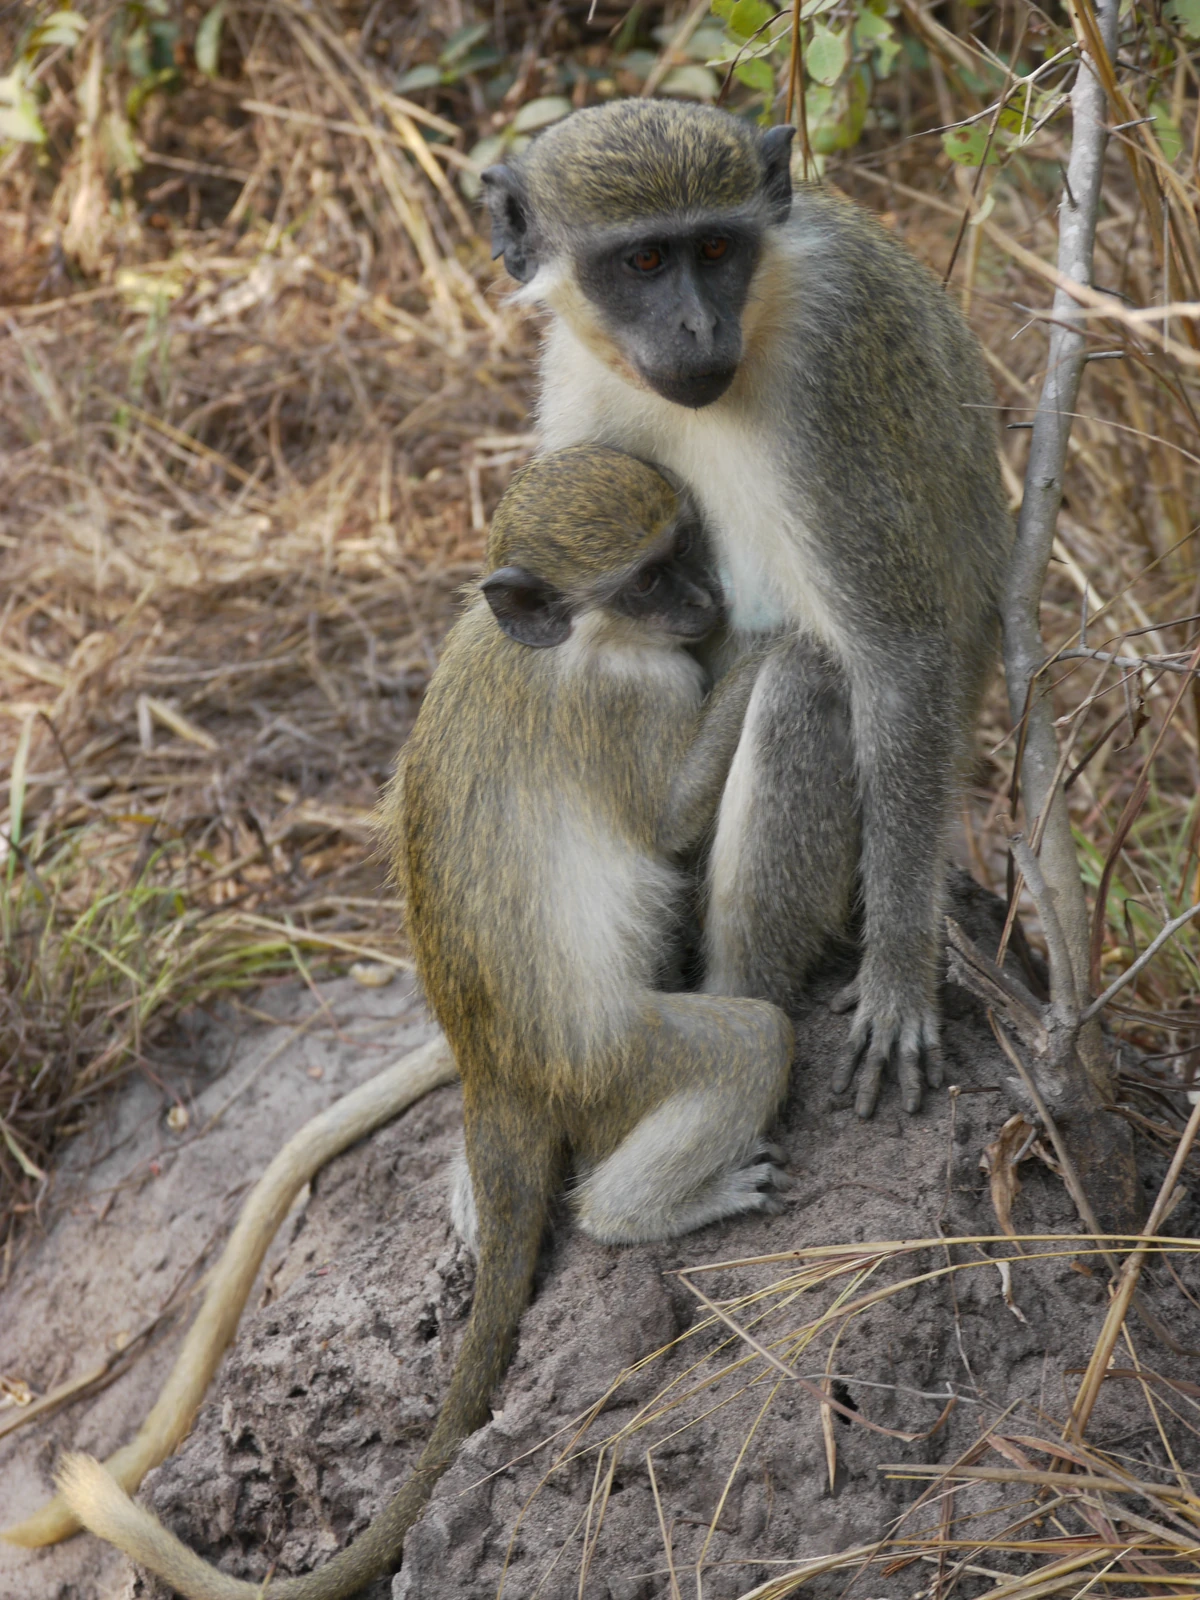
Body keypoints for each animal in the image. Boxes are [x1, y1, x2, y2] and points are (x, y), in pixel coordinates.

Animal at [51, 445, 794, 1600]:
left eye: (684, 547)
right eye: (645, 581)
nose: (708, 603)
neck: (550, 643)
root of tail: (498, 1073)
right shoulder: (631, 696)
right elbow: (671, 818)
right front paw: (764, 649)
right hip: (616, 1058)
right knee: (745, 1046)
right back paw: (644, 1213)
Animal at [481, 98, 1013, 1120]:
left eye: (718, 248)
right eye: (645, 261)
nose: (695, 324)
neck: (767, 304)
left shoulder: (835, 365)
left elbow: (899, 657)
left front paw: (899, 975)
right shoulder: (579, 380)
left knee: (809, 681)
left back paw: (743, 1005)